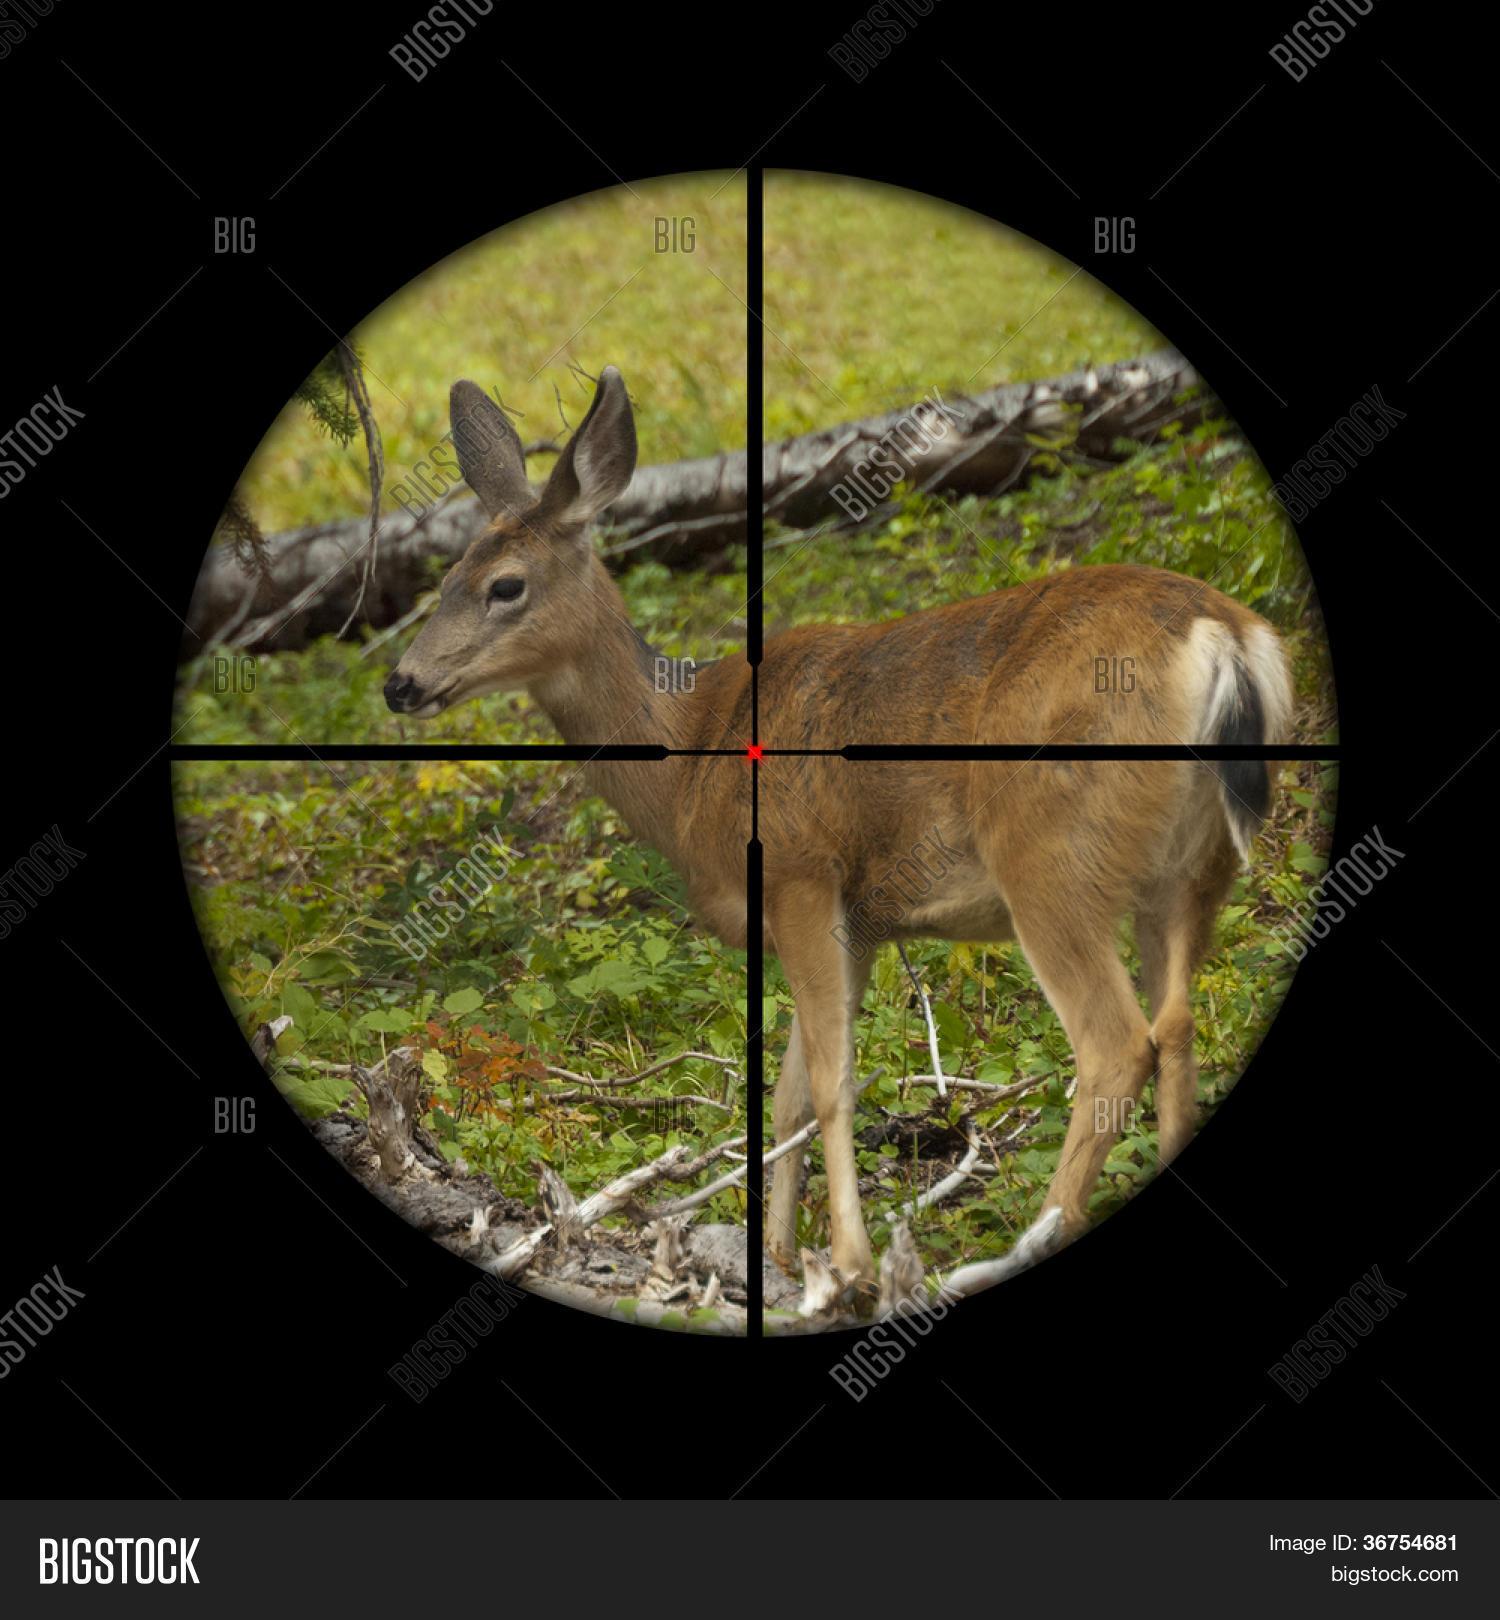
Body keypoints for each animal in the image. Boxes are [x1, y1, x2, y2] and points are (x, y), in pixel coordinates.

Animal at [385, 366, 1294, 1309]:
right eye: (445, 578)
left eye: (506, 585)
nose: (400, 683)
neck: (694, 757)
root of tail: (1229, 639)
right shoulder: (858, 919)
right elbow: (787, 1092)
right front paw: (782, 1258)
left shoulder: (799, 869)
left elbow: (830, 1082)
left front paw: (851, 1264)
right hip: (1195, 868)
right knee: (1181, 1026)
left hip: (1049, 855)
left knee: (1116, 1045)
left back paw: (1020, 1241)